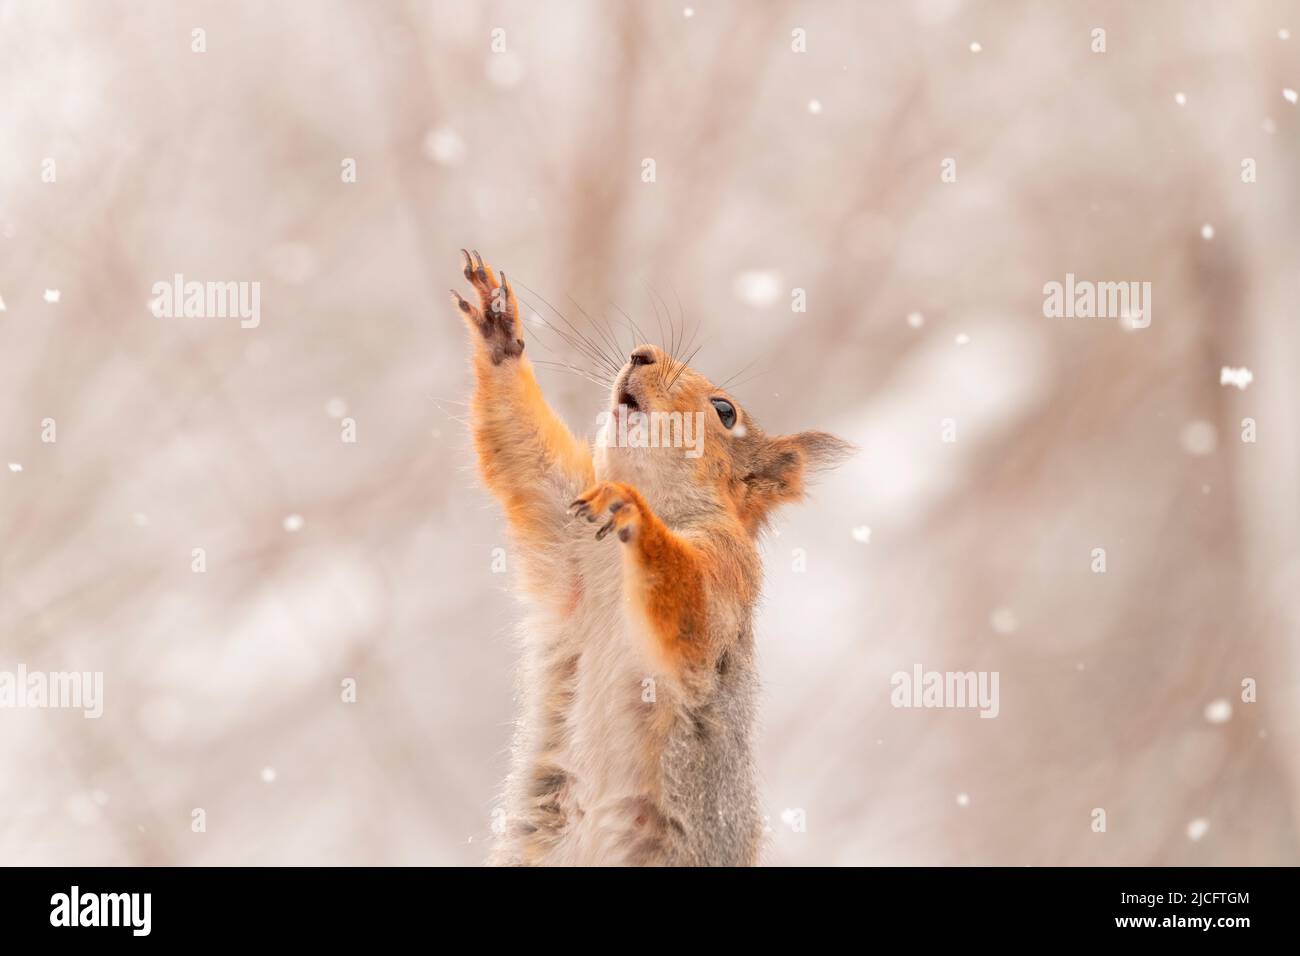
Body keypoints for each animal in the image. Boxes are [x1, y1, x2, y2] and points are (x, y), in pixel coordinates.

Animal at [452, 250, 850, 865]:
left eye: (725, 411)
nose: (640, 354)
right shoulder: (566, 527)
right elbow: (523, 458)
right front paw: (499, 330)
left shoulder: (733, 572)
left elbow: (694, 612)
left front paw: (632, 509)